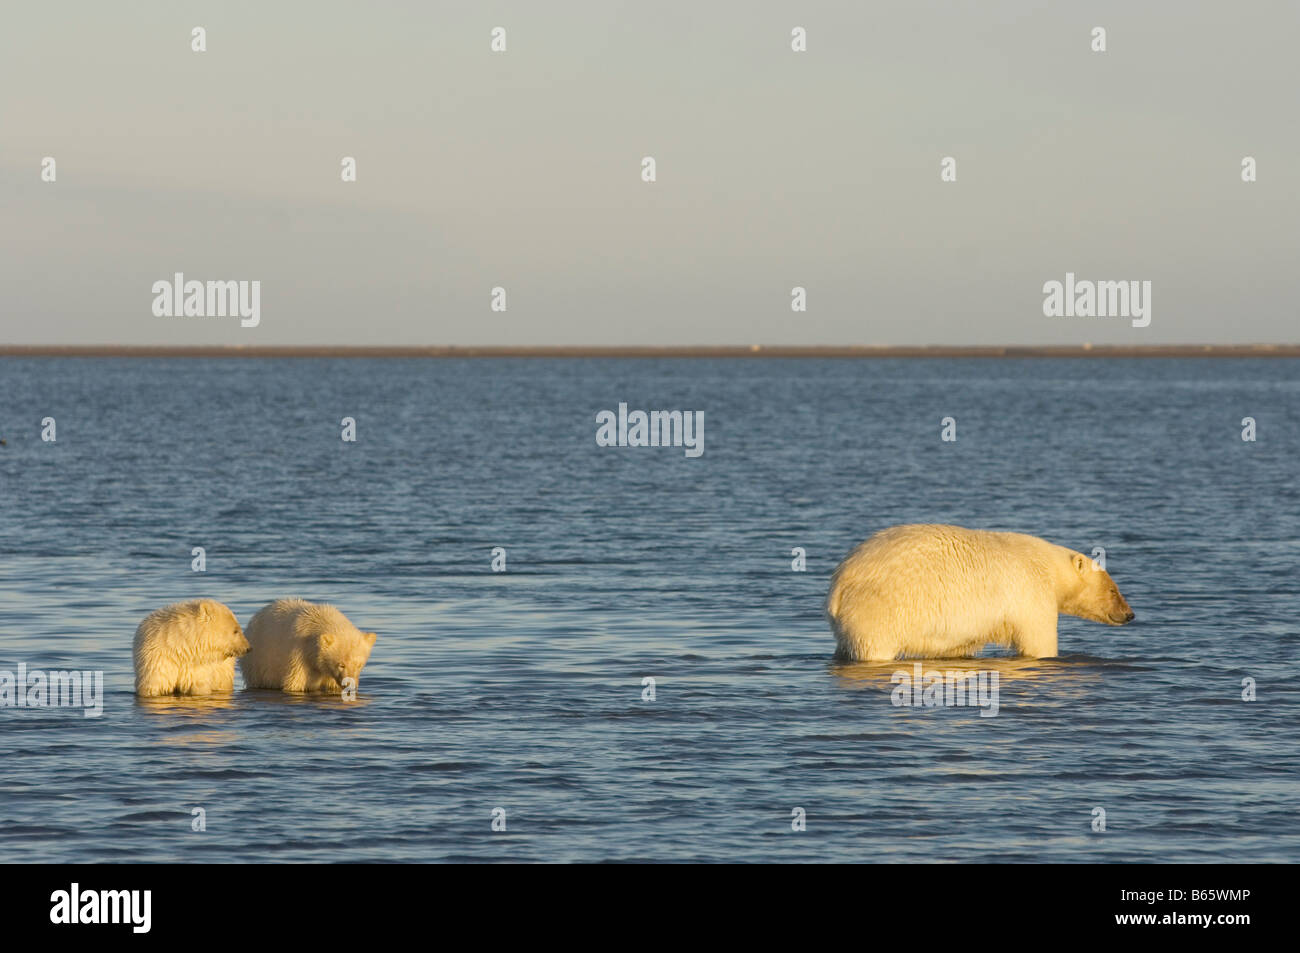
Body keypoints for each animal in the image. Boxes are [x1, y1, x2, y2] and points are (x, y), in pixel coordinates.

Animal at [239, 598, 377, 693]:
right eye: (341, 664)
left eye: (359, 665)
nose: (350, 685)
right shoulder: (298, 657)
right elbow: (295, 684)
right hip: (258, 662)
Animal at [826, 524, 1135, 661]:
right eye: (1113, 588)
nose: (1129, 614)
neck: (1051, 568)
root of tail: (838, 585)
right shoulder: (1031, 595)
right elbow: (1039, 642)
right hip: (878, 609)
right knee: (873, 647)